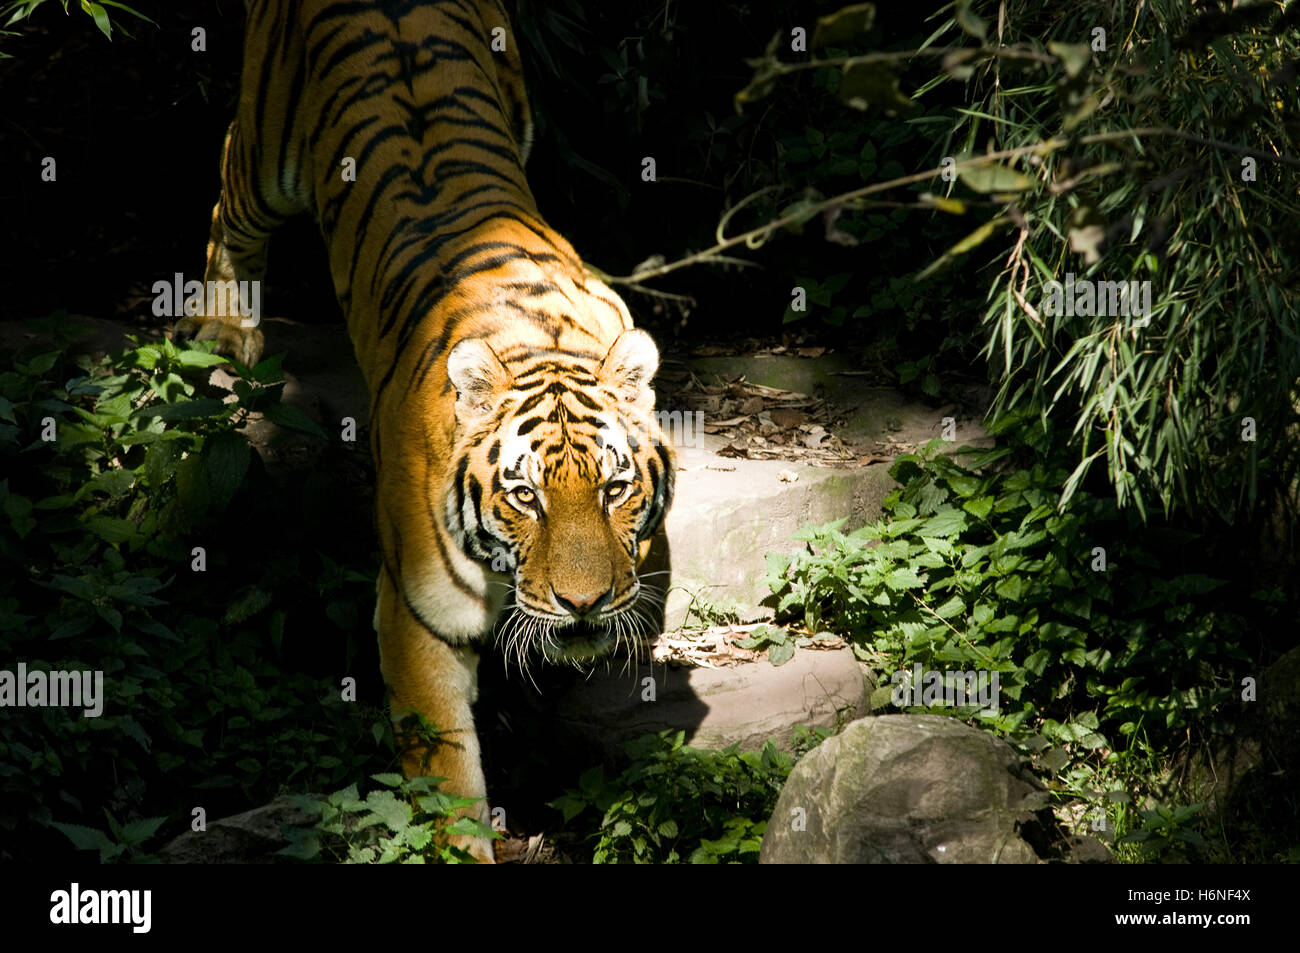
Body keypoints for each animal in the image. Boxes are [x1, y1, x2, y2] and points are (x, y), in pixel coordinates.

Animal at [174, 0, 675, 863]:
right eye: (525, 498)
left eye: (615, 489)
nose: (583, 604)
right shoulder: (416, 614)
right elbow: (444, 765)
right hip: (269, 147)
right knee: (229, 186)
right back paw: (224, 330)